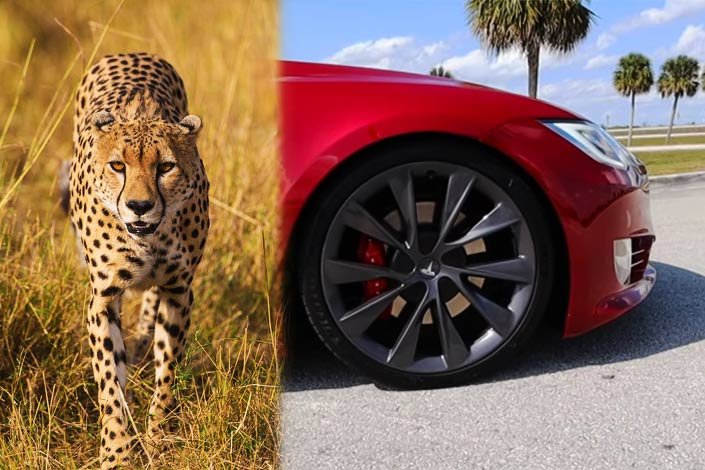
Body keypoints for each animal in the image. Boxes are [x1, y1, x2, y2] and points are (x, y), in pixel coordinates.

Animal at [65, 52, 209, 468]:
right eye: (118, 166)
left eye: (165, 166)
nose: (139, 206)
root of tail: (133, 53)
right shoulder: (103, 296)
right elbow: (109, 379)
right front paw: (116, 450)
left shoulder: (178, 289)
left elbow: (168, 368)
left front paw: (159, 436)